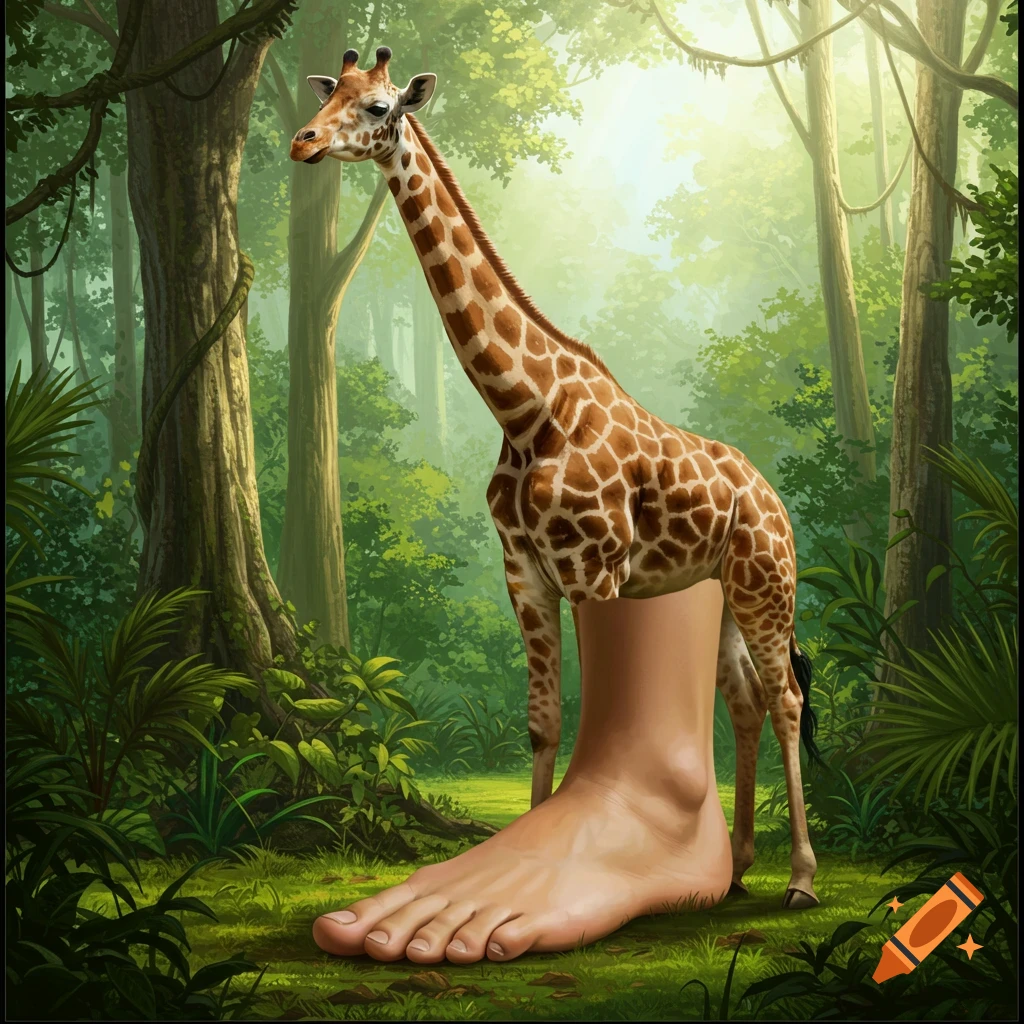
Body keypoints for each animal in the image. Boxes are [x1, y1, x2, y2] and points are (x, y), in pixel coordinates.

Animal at [290, 47, 821, 909]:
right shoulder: (526, 571)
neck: (525, 407)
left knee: (786, 699)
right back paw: (737, 866)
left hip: (766, 584)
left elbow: (601, 724)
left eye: (377, 107)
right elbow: (542, 721)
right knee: (742, 702)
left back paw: (801, 878)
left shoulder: (594, 571)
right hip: (718, 596)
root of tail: (776, 502)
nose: (301, 143)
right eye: (329, 92)